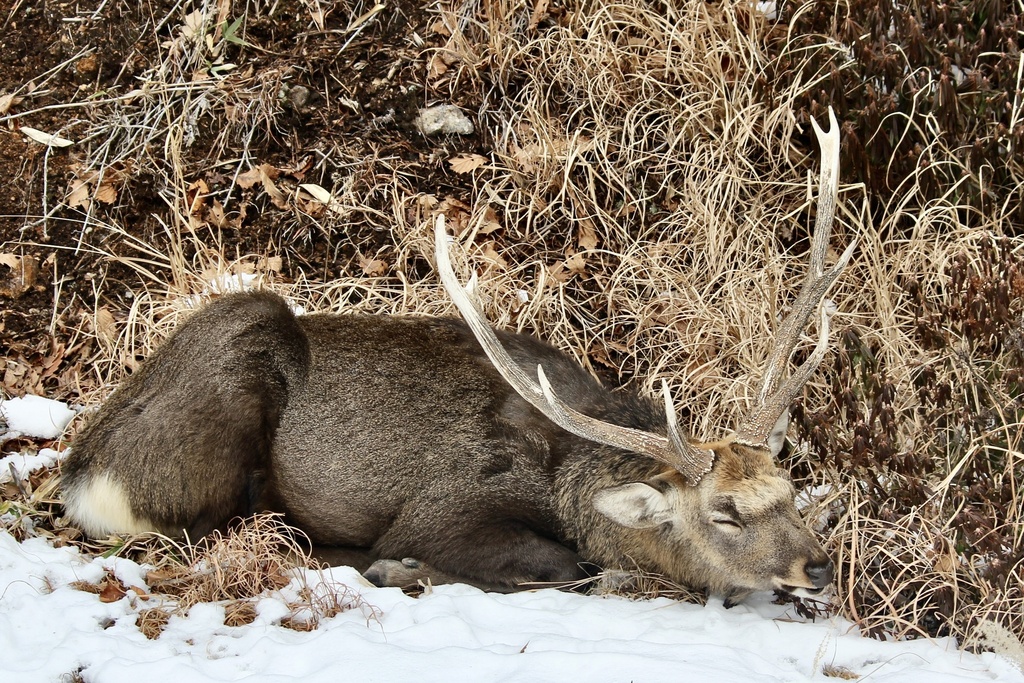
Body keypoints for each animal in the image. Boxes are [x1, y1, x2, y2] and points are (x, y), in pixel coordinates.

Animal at [61, 109, 852, 606]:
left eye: (786, 490)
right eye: (724, 513)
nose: (818, 565)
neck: (572, 480)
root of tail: (84, 473)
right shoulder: (449, 508)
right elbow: (565, 564)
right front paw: (412, 563)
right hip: (228, 401)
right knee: (228, 531)